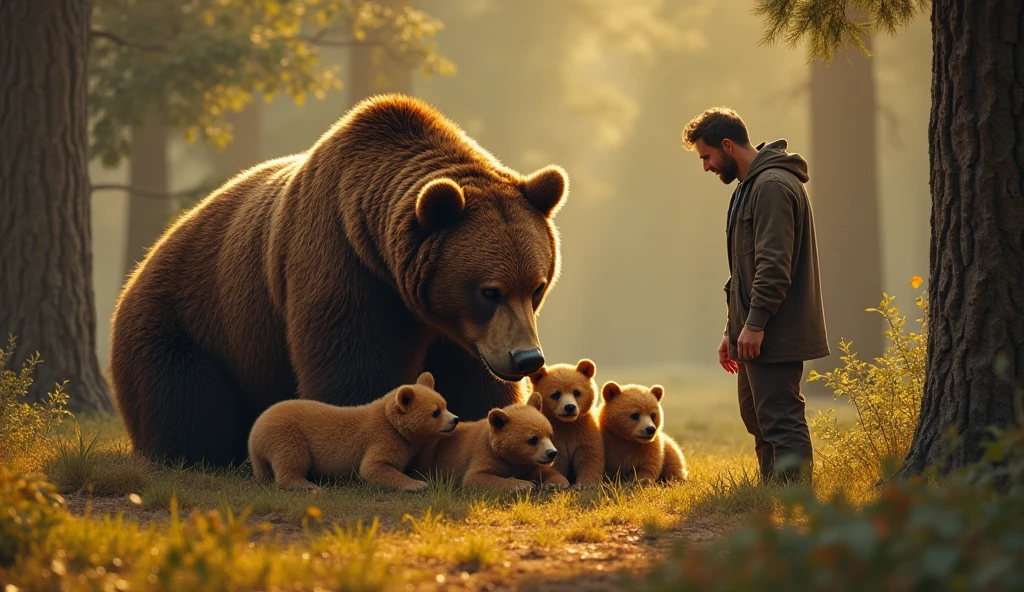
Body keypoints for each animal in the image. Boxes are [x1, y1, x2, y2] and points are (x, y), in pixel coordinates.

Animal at [108, 93, 570, 466]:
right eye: (489, 291)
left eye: (537, 286)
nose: (527, 359)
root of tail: (143, 263)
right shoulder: (342, 263)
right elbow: (352, 363)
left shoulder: (464, 333)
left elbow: (475, 381)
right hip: (188, 321)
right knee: (185, 403)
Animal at [247, 371, 458, 491]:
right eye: (436, 412)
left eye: (445, 404)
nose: (455, 420)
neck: (390, 421)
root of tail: (254, 434)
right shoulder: (382, 438)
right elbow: (373, 467)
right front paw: (417, 484)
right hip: (285, 432)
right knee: (292, 456)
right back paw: (306, 485)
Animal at [408, 392, 570, 491]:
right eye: (533, 439)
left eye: (549, 434)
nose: (552, 453)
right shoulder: (484, 453)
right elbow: (475, 478)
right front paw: (523, 485)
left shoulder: (527, 464)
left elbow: (543, 471)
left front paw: (555, 483)